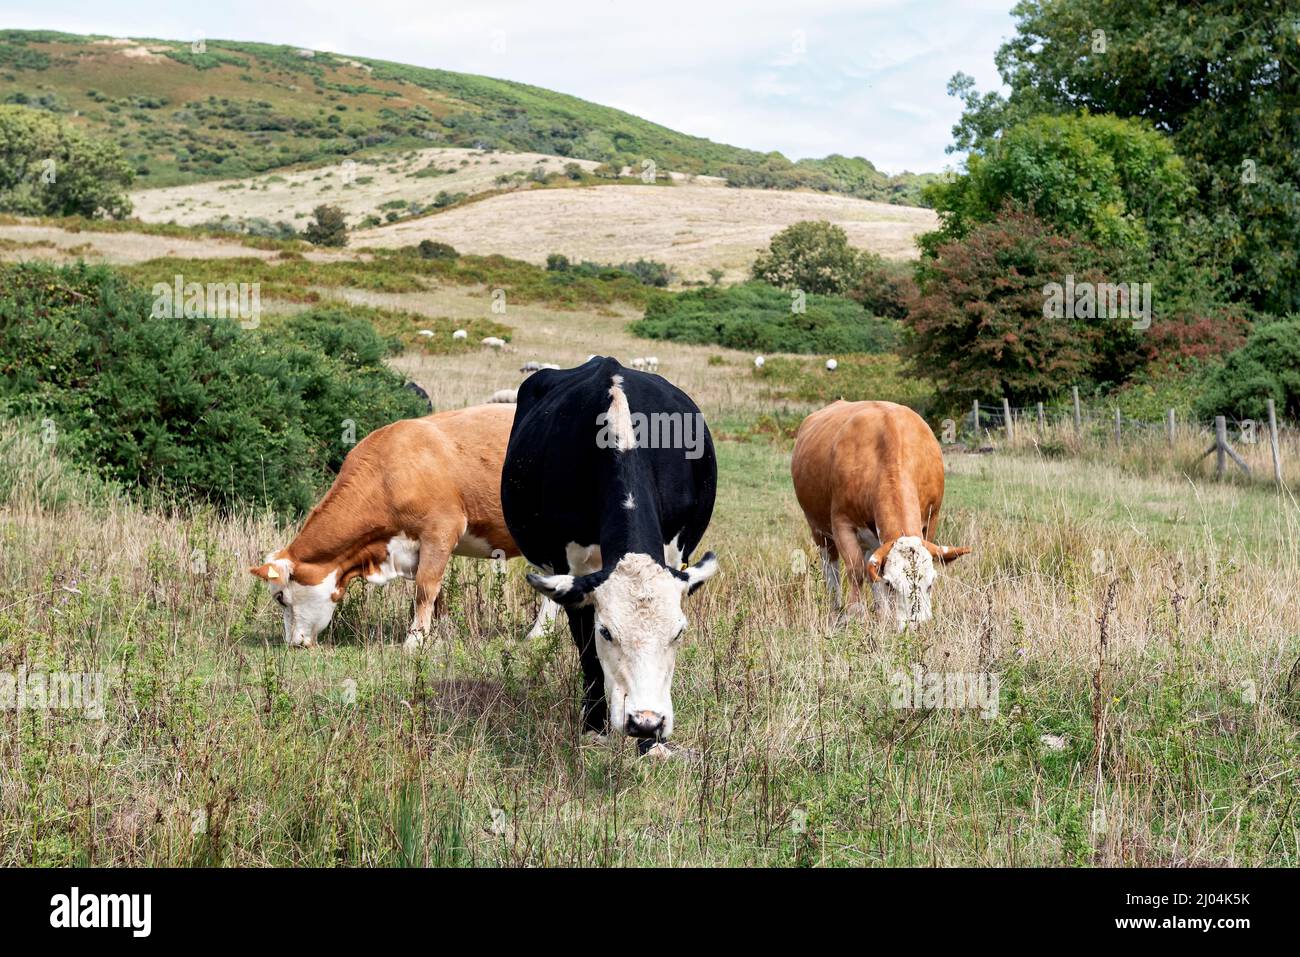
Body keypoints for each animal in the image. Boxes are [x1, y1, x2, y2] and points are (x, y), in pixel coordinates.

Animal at [249, 404, 557, 649]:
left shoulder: (440, 530)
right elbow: (437, 594)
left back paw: (537, 634)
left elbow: (425, 587)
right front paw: (440, 634)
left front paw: (414, 640)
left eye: (280, 597)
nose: (293, 643)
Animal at [502, 356, 719, 746]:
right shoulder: (573, 569)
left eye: (679, 632)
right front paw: (594, 724)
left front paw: (651, 745)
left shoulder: (674, 551)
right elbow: (587, 651)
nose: (646, 721)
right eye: (607, 632)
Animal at [791, 400, 970, 630]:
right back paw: (835, 608)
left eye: (930, 584)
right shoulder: (841, 523)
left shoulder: (932, 519)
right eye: (891, 585)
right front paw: (855, 613)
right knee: (831, 568)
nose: (915, 626)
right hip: (818, 530)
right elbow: (856, 570)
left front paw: (883, 615)